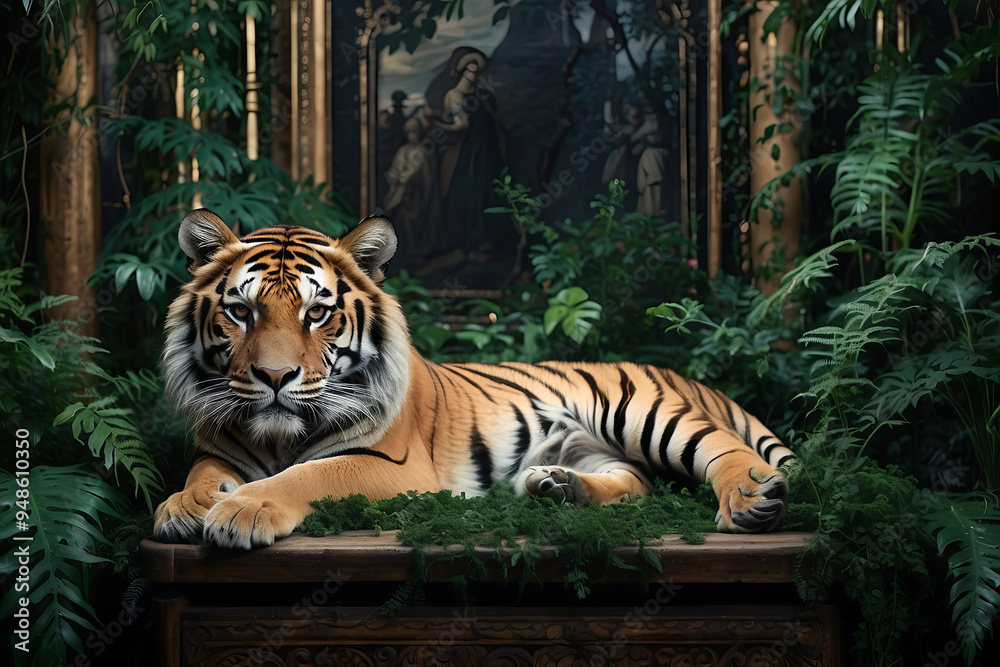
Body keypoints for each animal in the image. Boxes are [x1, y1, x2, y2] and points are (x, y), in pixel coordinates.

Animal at [153, 209, 794, 550]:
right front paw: (185, 506)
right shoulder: (222, 449)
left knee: (724, 449)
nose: (275, 375)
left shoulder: (394, 467)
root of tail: (676, 374)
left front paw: (241, 511)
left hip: (641, 411)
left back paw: (751, 498)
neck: (277, 437)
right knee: (637, 482)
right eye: (242, 311)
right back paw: (558, 488)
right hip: (594, 449)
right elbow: (202, 473)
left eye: (317, 313)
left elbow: (310, 476)